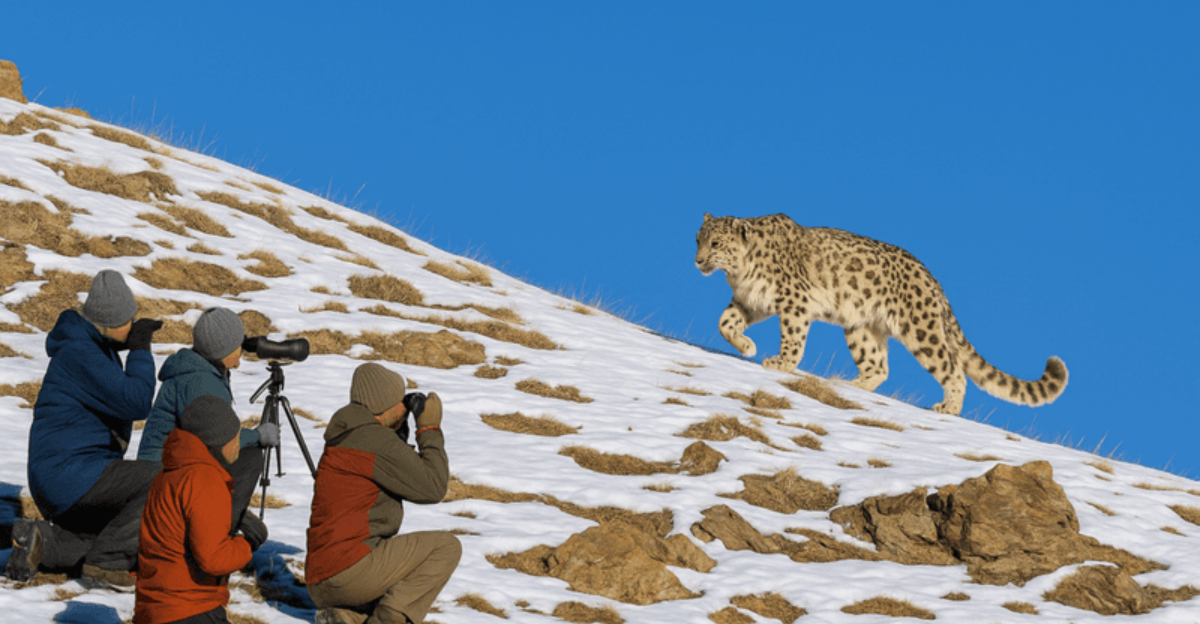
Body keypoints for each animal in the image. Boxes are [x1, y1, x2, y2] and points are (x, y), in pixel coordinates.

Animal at [694, 213, 1068, 415]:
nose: (697, 260)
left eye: (716, 243)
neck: (740, 272)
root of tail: (933, 280)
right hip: (861, 328)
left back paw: (947, 408)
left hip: (921, 329)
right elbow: (724, 322)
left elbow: (793, 337)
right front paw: (747, 346)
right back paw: (846, 383)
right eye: (697, 238)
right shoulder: (750, 301)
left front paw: (780, 362)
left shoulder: (794, 302)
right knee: (878, 365)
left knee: (952, 369)